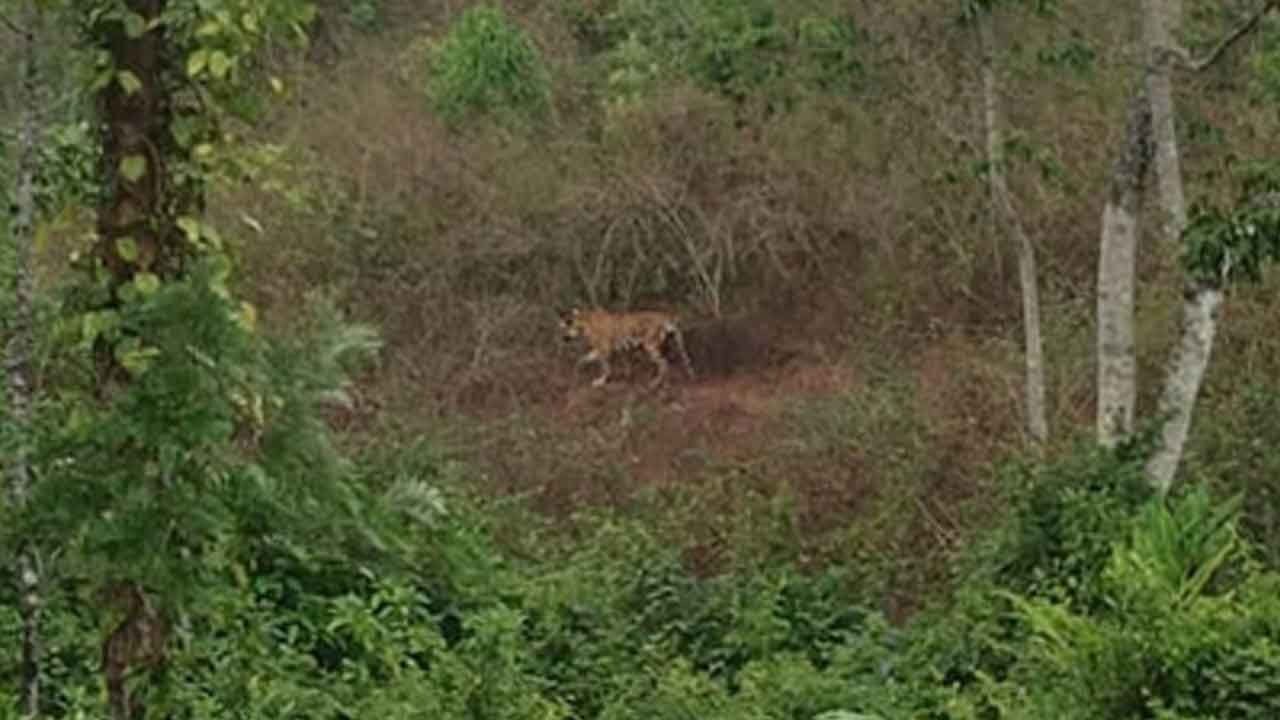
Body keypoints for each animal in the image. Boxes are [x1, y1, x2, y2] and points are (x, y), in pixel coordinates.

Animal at [558, 307, 696, 389]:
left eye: (566, 326)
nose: (563, 338)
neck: (584, 324)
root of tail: (665, 316)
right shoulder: (598, 350)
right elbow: (583, 359)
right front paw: (577, 371)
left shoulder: (604, 350)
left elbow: (605, 367)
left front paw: (601, 381)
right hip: (668, 342)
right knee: (674, 360)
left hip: (650, 346)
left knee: (664, 363)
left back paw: (655, 383)